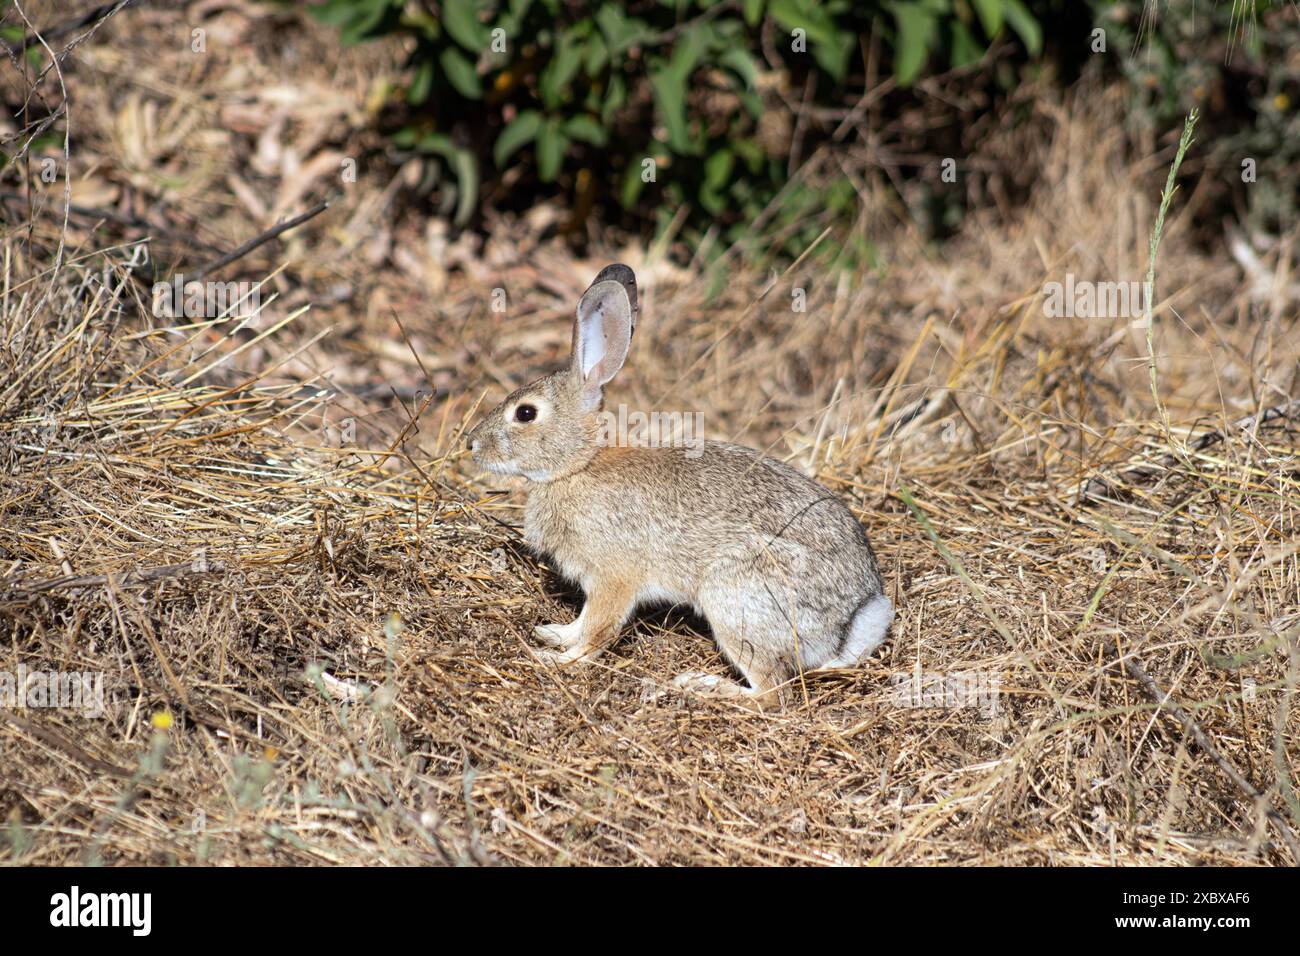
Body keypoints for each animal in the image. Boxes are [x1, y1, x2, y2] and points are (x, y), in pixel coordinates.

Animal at [466, 263, 893, 704]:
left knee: (773, 691)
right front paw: (554, 634)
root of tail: (848, 623)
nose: (472, 444)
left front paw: (558, 659)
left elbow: (599, 627)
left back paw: (704, 686)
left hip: (734, 596)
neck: (576, 466)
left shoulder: (613, 576)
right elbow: (581, 622)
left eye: (526, 413)